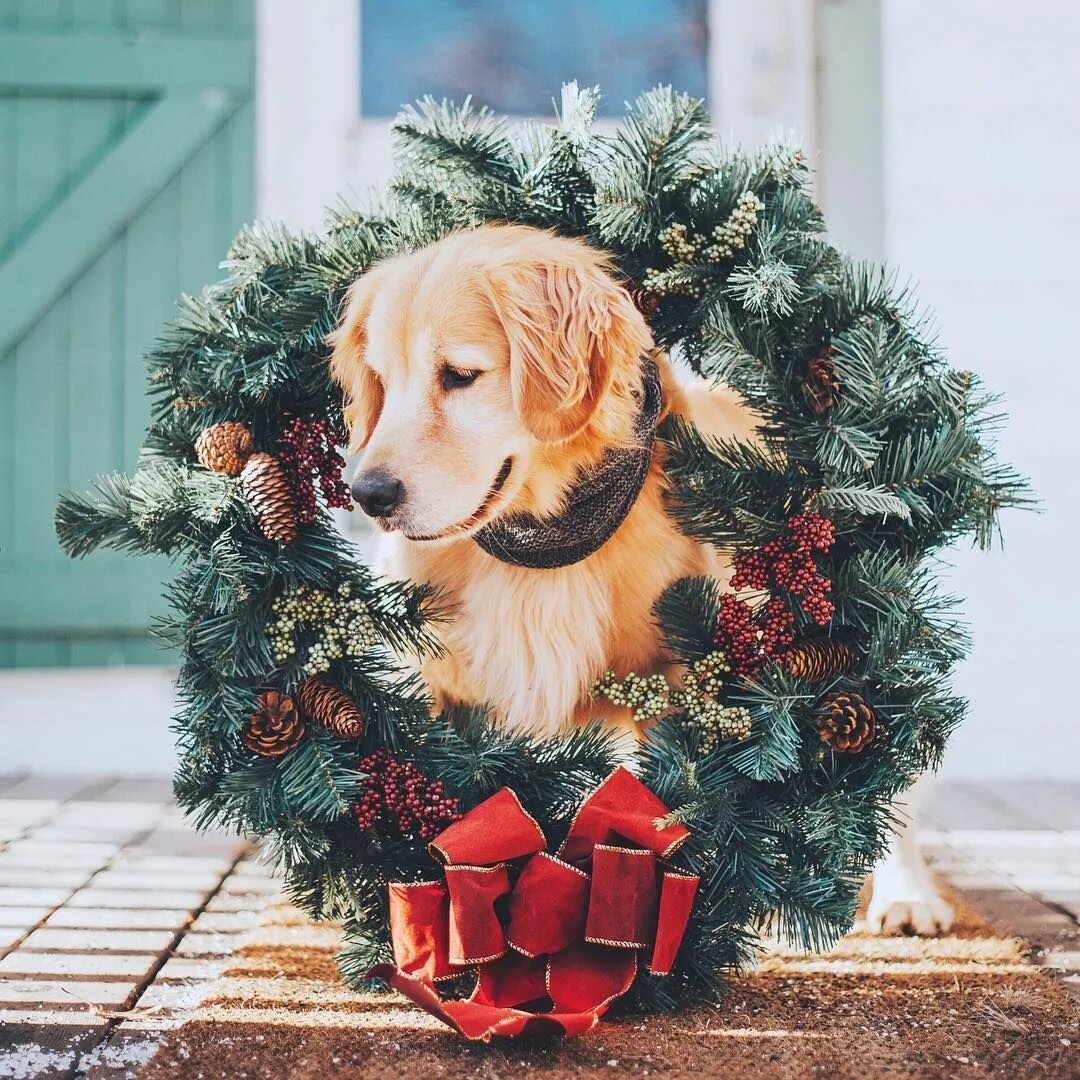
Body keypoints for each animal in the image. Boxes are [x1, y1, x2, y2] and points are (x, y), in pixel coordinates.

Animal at [328, 221, 954, 937]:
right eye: (381, 380)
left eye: (460, 375)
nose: (369, 494)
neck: (542, 543)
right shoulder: (426, 675)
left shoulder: (673, 681)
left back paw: (904, 896)